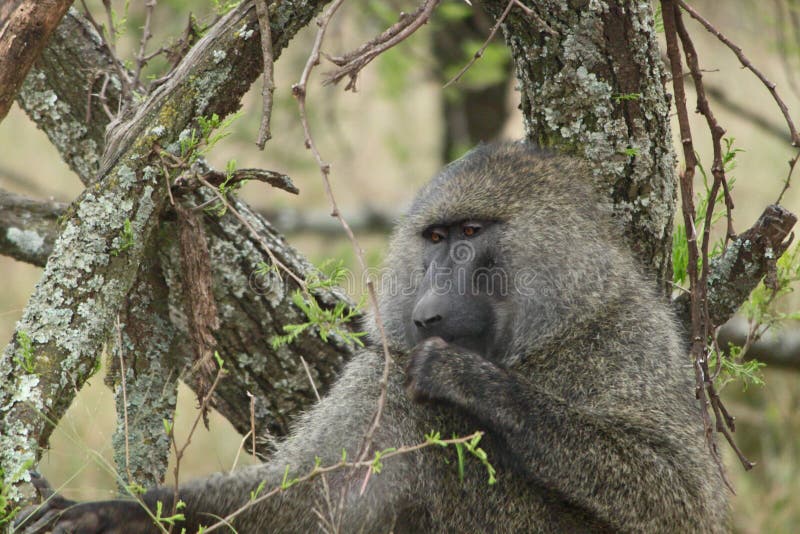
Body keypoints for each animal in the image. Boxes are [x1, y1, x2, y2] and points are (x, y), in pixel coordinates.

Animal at [16, 142, 728, 533]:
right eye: (434, 239)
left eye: (471, 235)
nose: (428, 308)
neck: (529, 346)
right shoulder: (382, 371)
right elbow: (312, 501)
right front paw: (113, 514)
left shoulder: (634, 337)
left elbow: (678, 499)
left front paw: (469, 381)